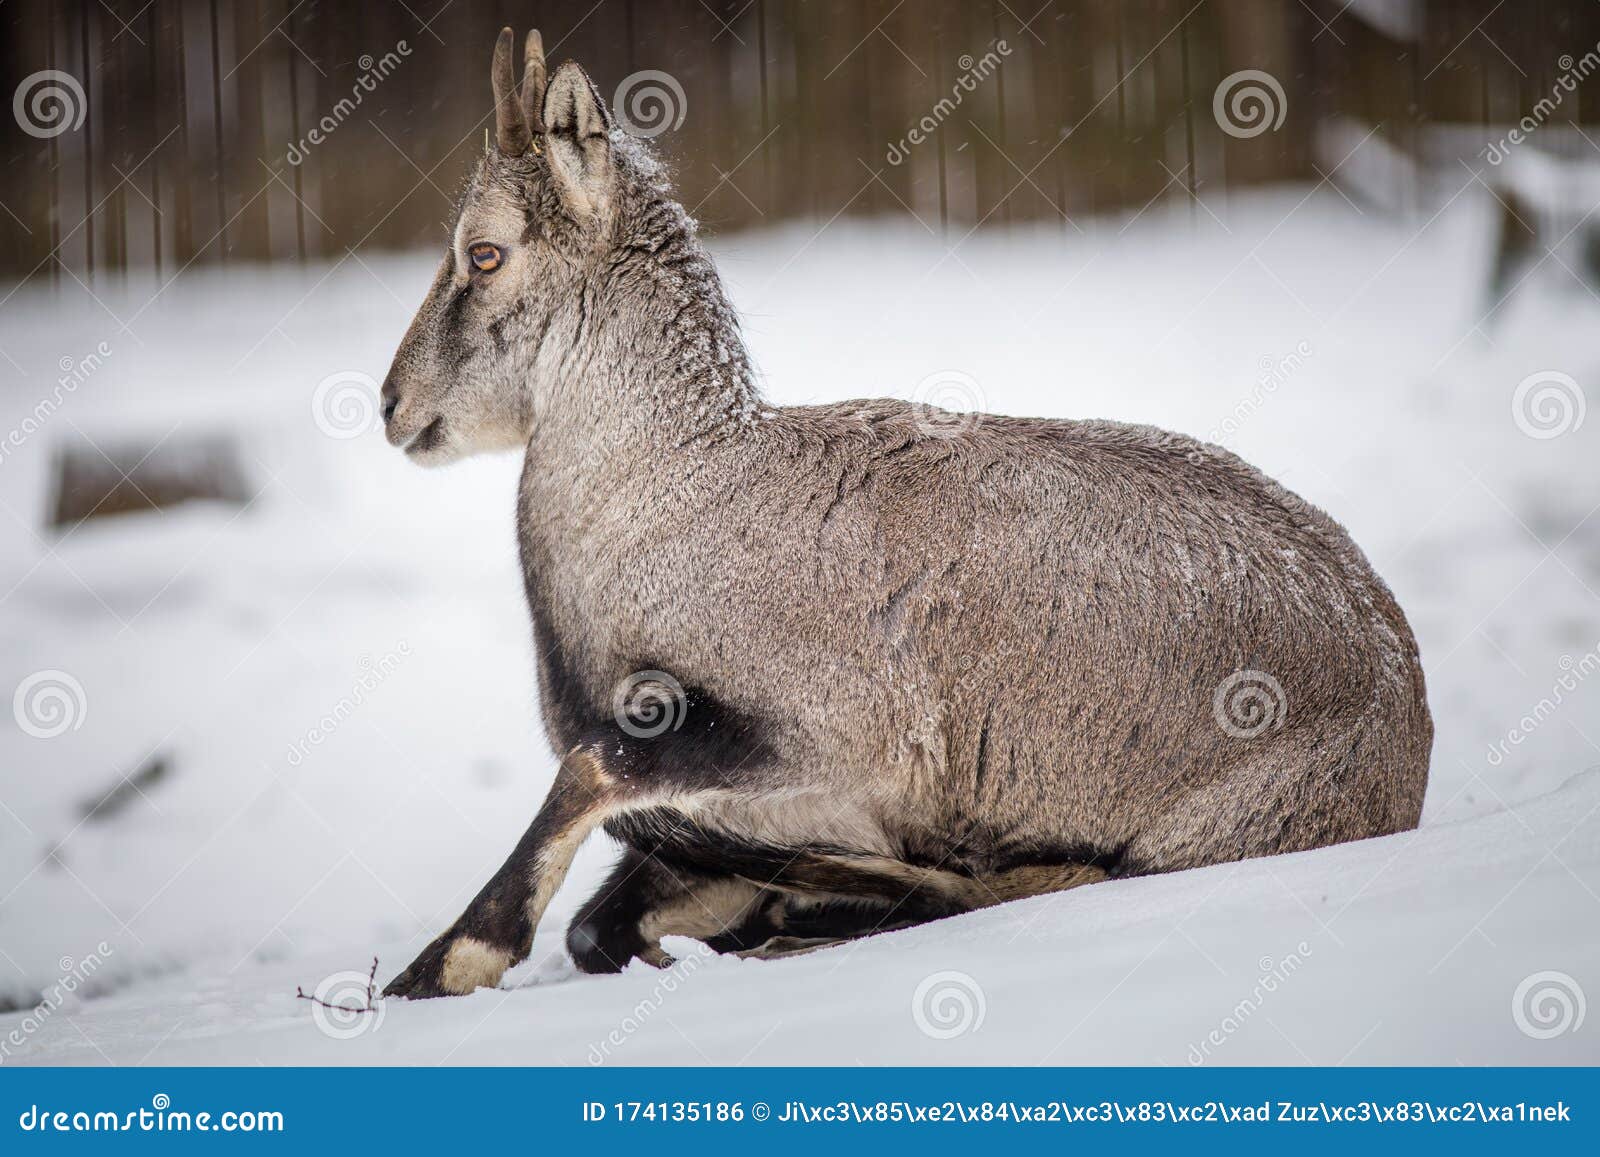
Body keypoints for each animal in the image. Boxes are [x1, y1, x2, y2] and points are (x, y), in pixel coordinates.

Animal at [377, 29, 1431, 999]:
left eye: (484, 251)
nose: (392, 405)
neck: (669, 494)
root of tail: (1408, 720)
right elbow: (601, 921)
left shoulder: (829, 730)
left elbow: (593, 769)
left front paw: (446, 963)